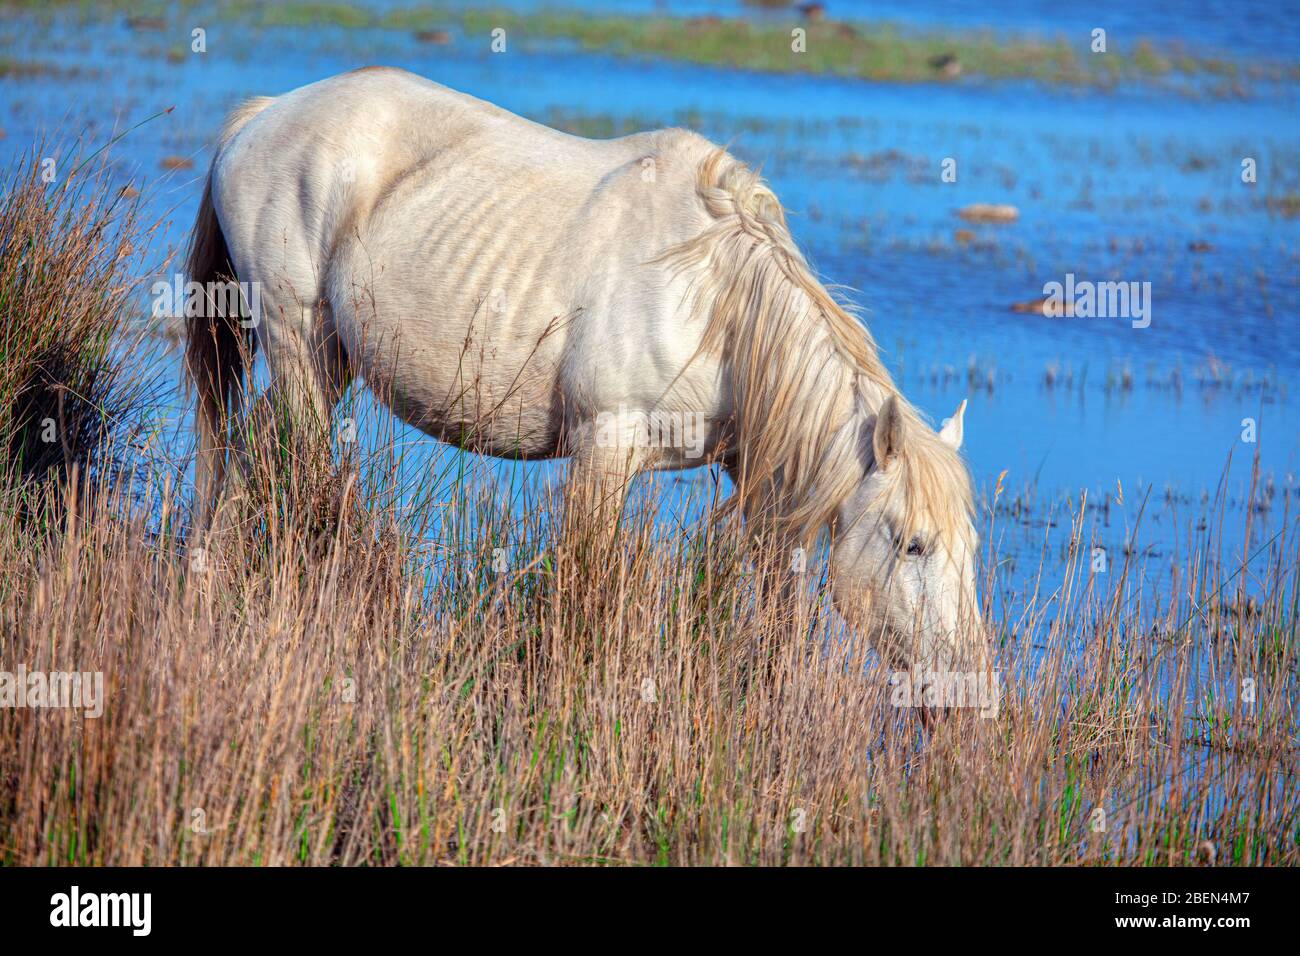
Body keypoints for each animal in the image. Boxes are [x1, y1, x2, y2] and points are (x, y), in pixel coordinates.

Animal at [185, 67, 988, 677]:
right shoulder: (604, 451)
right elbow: (585, 585)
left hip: (326, 363)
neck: (714, 301)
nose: (969, 687)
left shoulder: (762, 475)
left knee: (247, 464)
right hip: (298, 342)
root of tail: (263, 115)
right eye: (914, 544)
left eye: (970, 550)